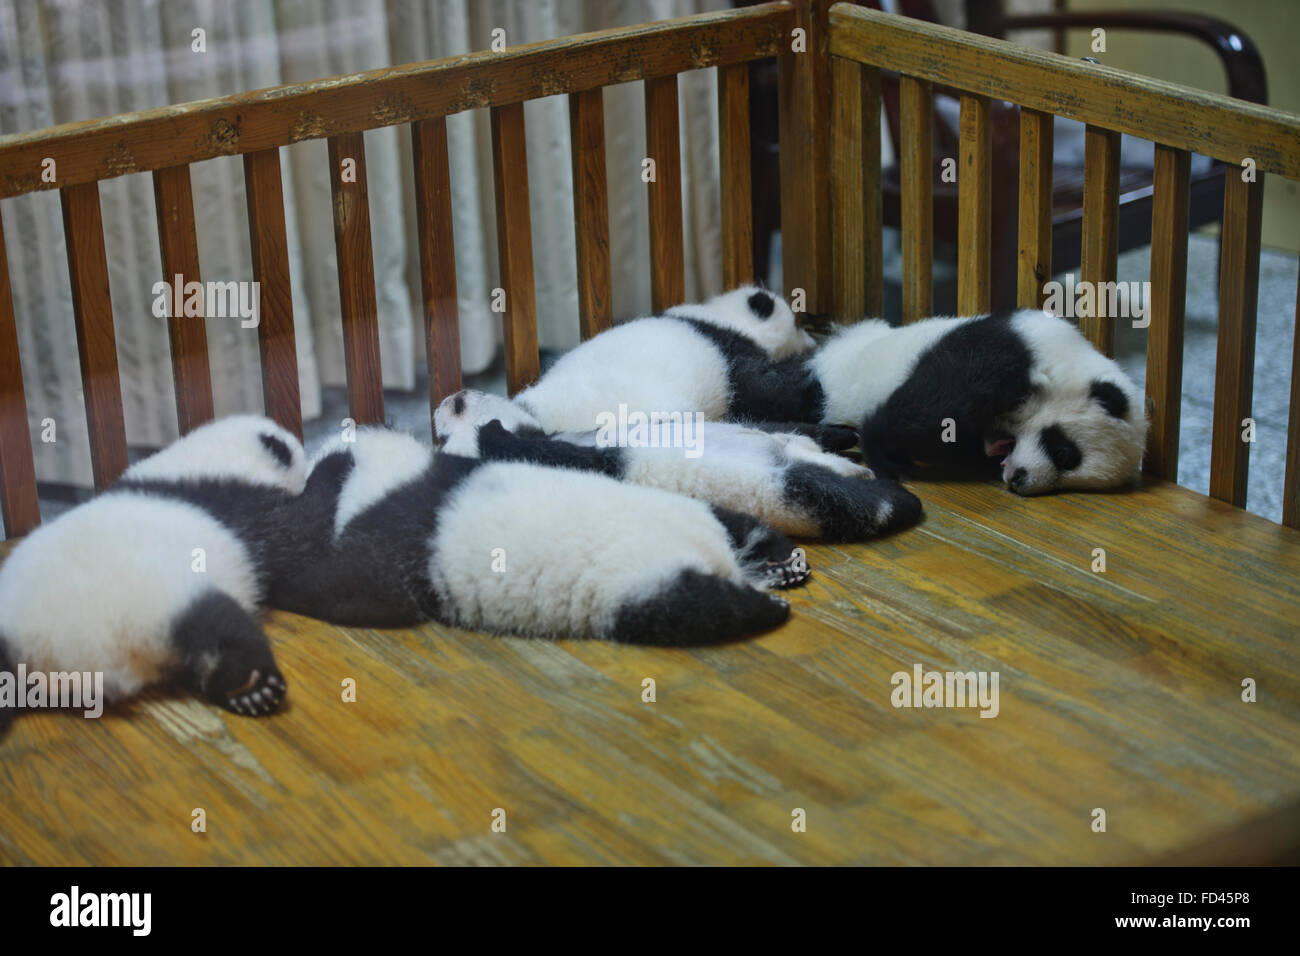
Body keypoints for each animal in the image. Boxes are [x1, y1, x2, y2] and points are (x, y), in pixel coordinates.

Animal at [269, 427, 801, 645]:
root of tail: (719, 559)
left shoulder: (396, 539)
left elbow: (352, 592)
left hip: (641, 589)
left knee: (698, 610)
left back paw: (770, 603)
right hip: (685, 516)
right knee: (736, 524)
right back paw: (784, 563)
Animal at [433, 388, 923, 541]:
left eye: (455, 404)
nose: (439, 405)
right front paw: (491, 432)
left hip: (778, 447)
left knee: (790, 434)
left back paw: (843, 439)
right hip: (788, 491)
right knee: (840, 492)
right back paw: (876, 484)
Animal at [808, 310, 1148, 494]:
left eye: (1070, 476)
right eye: (1064, 453)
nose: (1020, 480)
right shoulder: (1008, 351)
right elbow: (936, 407)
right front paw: (887, 458)